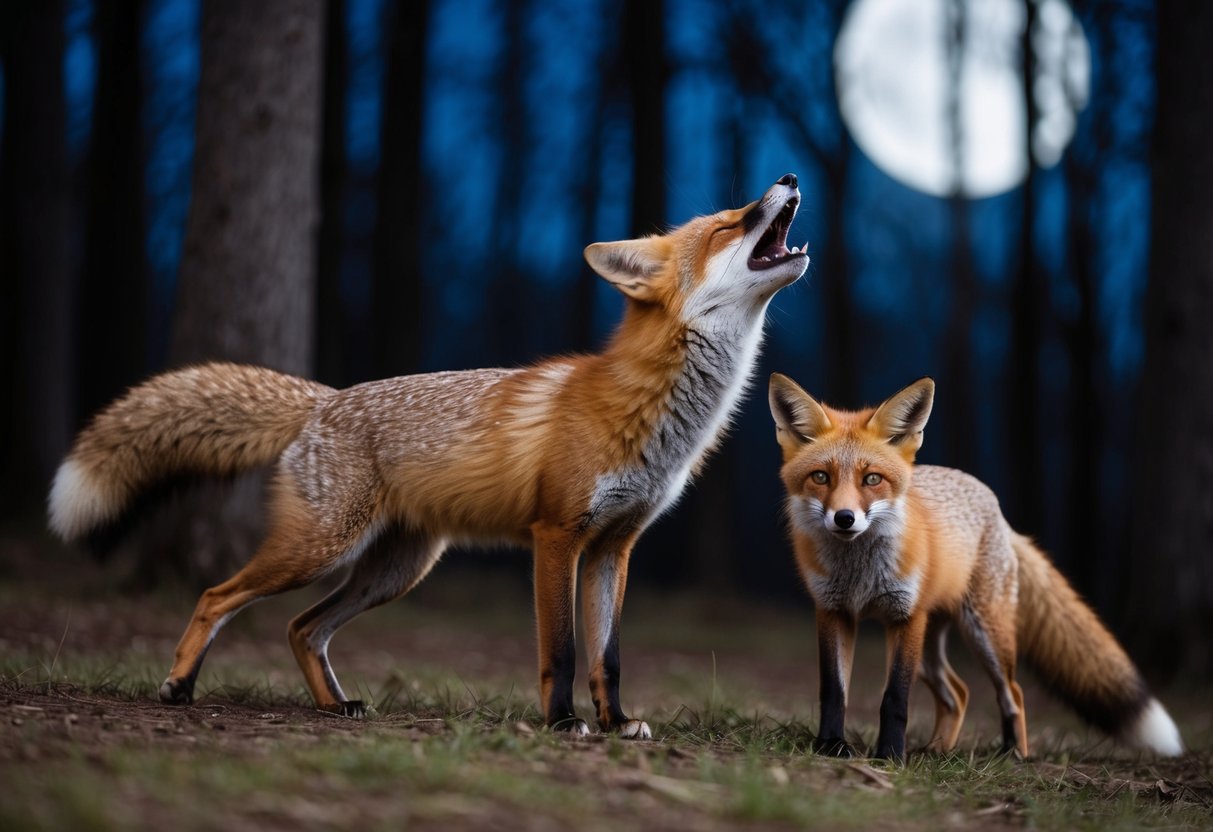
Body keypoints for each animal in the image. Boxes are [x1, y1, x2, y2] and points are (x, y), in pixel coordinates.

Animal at [48, 174, 810, 737]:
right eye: (730, 223)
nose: (788, 177)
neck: (653, 415)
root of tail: (324, 399)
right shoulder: (557, 536)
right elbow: (562, 650)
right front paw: (561, 724)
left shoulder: (613, 548)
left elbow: (609, 656)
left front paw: (617, 723)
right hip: (320, 549)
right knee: (217, 595)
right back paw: (179, 684)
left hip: (394, 571)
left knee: (301, 628)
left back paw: (335, 706)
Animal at [767, 373, 1184, 761]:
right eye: (821, 477)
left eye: (872, 479)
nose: (845, 518)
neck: (859, 574)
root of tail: (997, 509)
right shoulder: (834, 611)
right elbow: (833, 691)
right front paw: (830, 746)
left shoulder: (906, 616)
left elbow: (895, 699)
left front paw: (890, 757)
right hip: (930, 647)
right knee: (959, 694)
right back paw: (937, 751)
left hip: (984, 635)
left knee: (1011, 692)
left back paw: (1014, 754)